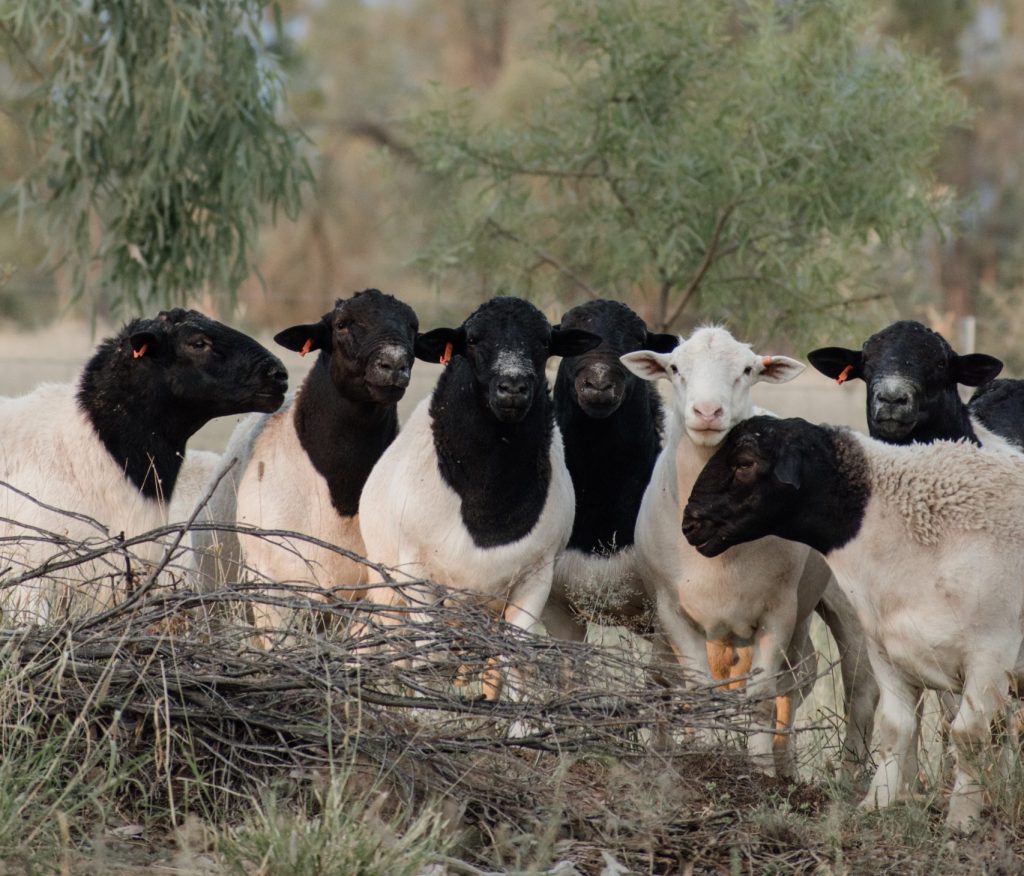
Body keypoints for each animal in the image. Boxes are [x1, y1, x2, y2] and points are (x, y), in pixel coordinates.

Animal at [358, 296, 600, 695]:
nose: (513, 386)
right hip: (391, 589)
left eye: (545, 341)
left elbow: (516, 662)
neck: (488, 501)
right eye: (471, 340)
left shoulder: (535, 581)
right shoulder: (418, 578)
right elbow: (427, 661)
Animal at [622, 327, 876, 777]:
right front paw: (704, 754)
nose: (707, 412)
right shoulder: (672, 611)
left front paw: (759, 770)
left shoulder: (777, 611)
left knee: (854, 689)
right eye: (675, 368)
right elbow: (699, 687)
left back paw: (843, 779)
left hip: (840, 606)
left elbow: (759, 696)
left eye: (746, 369)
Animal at [682, 414, 1024, 830]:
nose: (689, 524)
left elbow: (968, 735)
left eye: (745, 463)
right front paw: (875, 805)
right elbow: (896, 728)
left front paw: (961, 819)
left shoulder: (990, 656)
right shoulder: (887, 650)